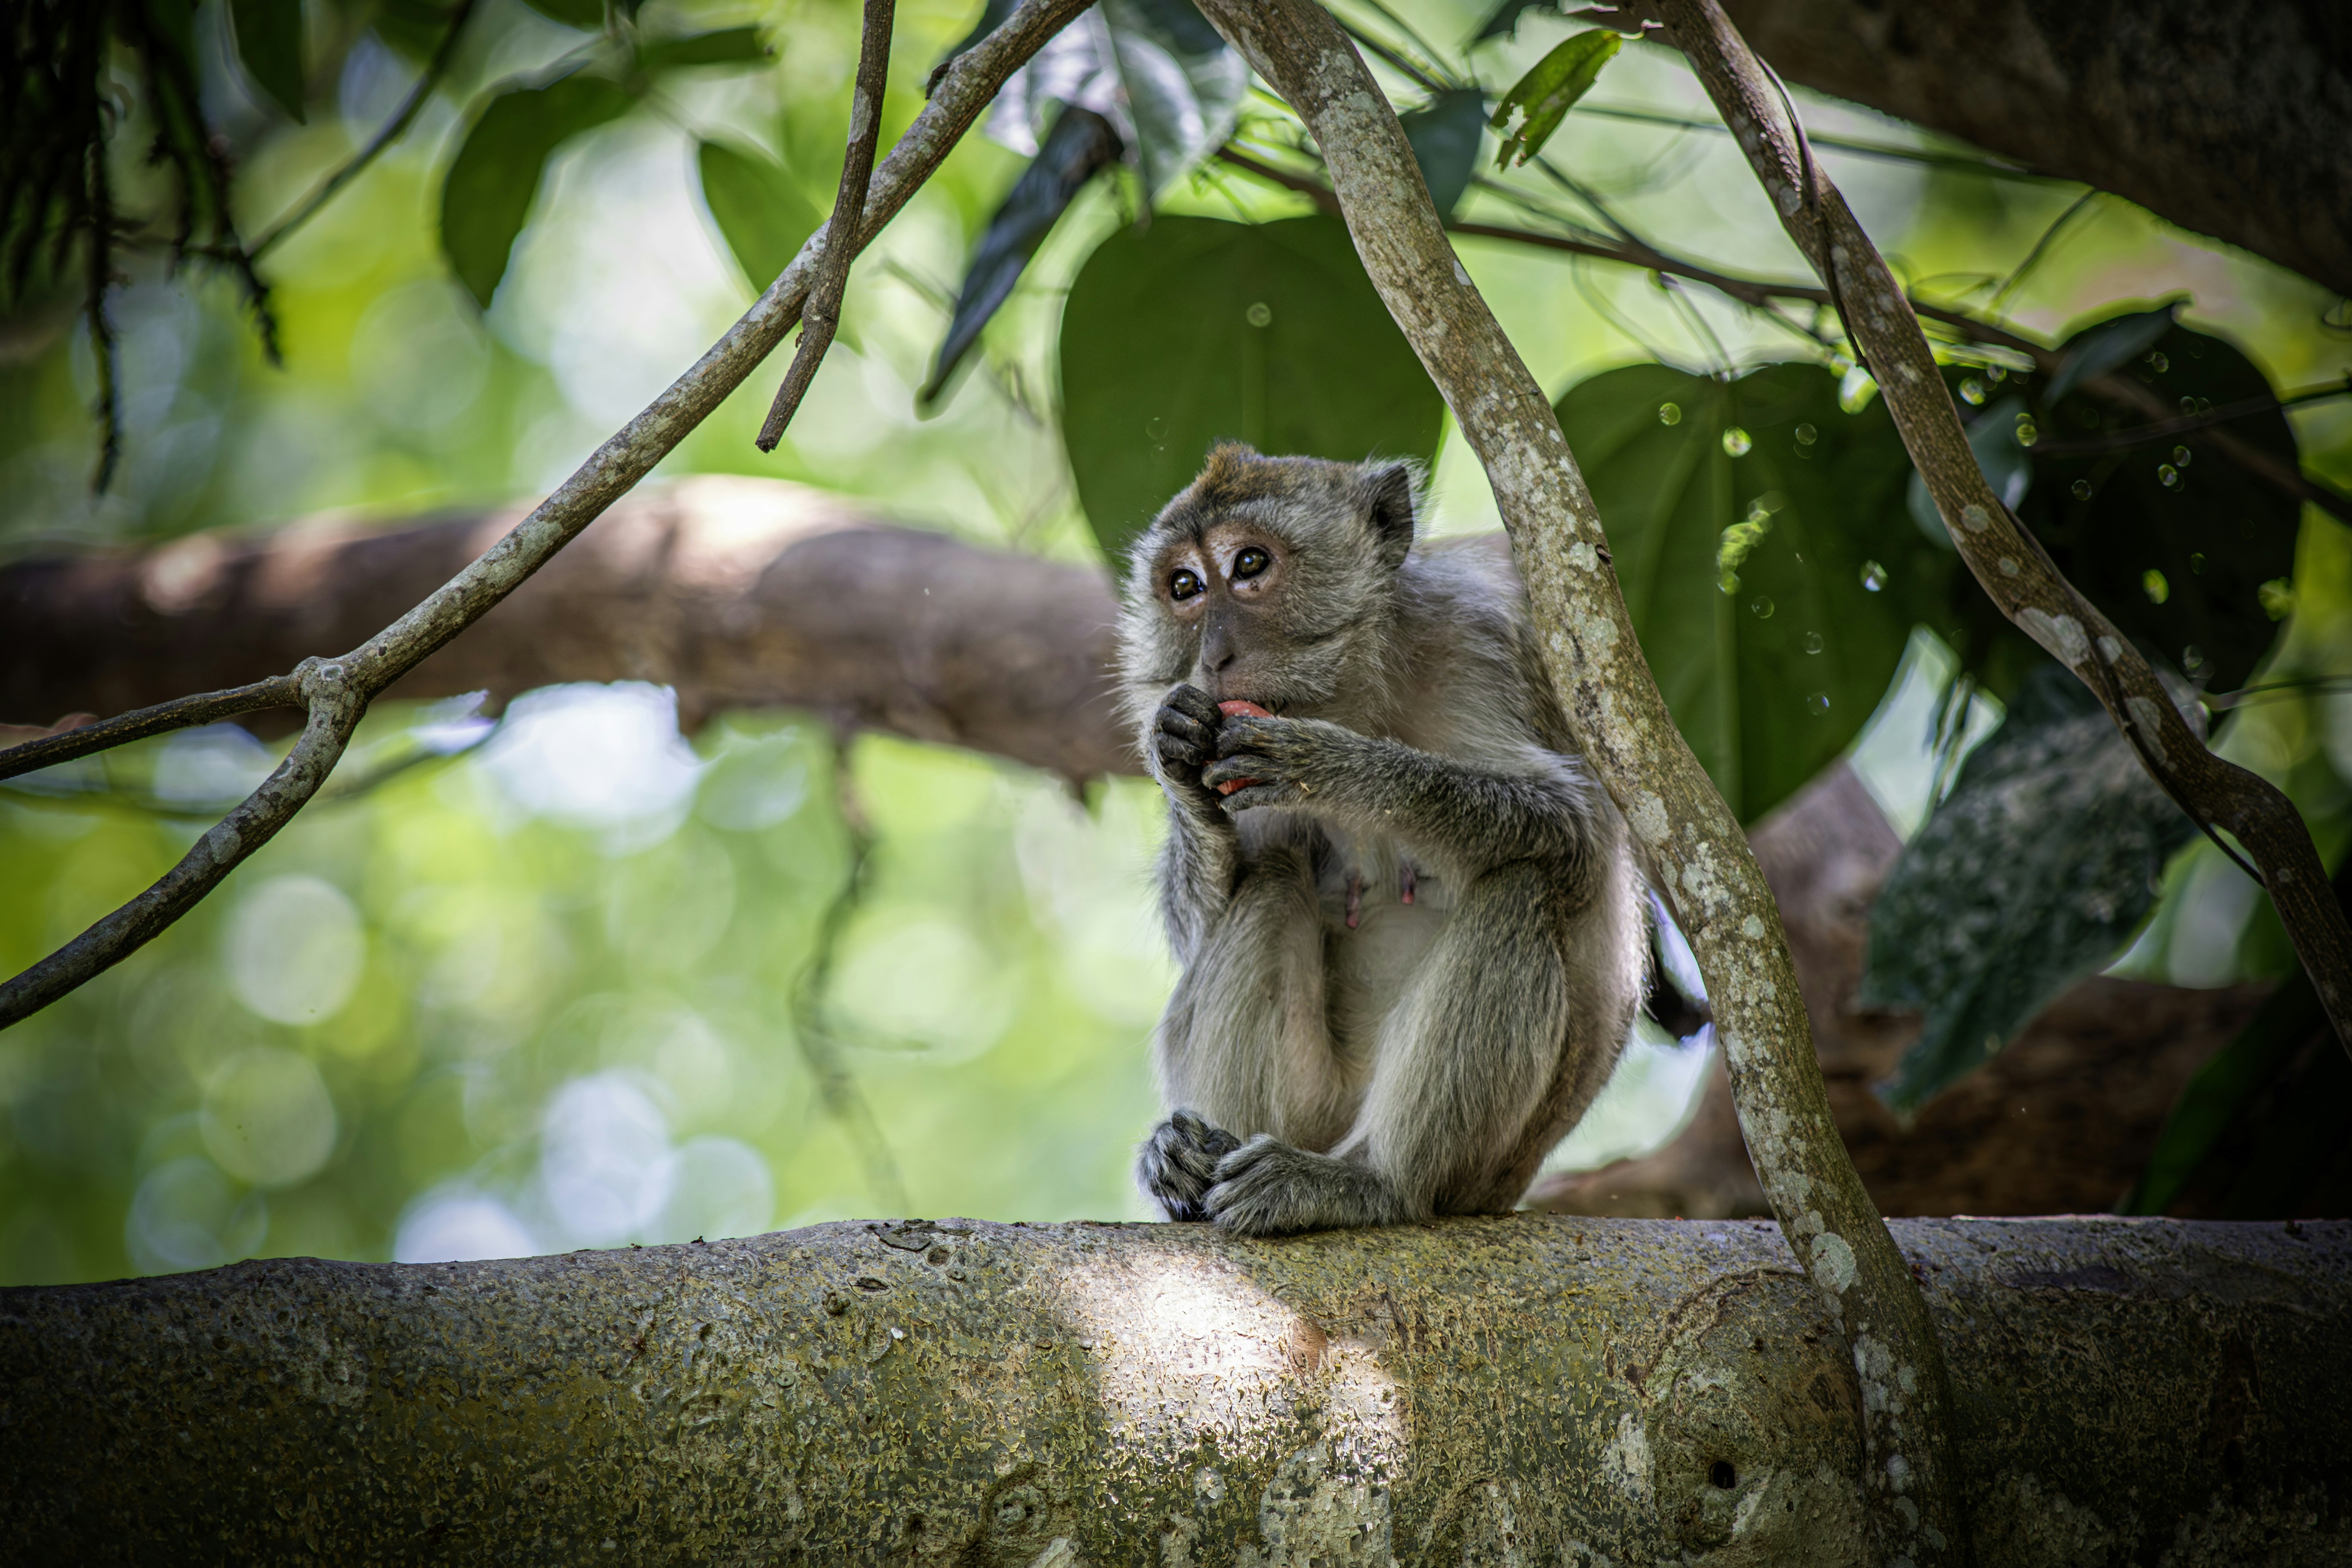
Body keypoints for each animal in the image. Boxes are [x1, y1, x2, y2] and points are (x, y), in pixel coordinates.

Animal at [1118, 445, 1648, 1237]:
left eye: (1250, 564)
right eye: (1184, 586)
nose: (1212, 657)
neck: (1350, 693)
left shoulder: (1477, 641)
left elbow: (1572, 831)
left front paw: (1330, 765)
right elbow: (1204, 920)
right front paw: (1176, 758)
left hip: (1483, 1172)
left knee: (1520, 885)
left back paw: (1374, 1183)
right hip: (1314, 1107)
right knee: (1270, 879)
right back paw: (1196, 1160)